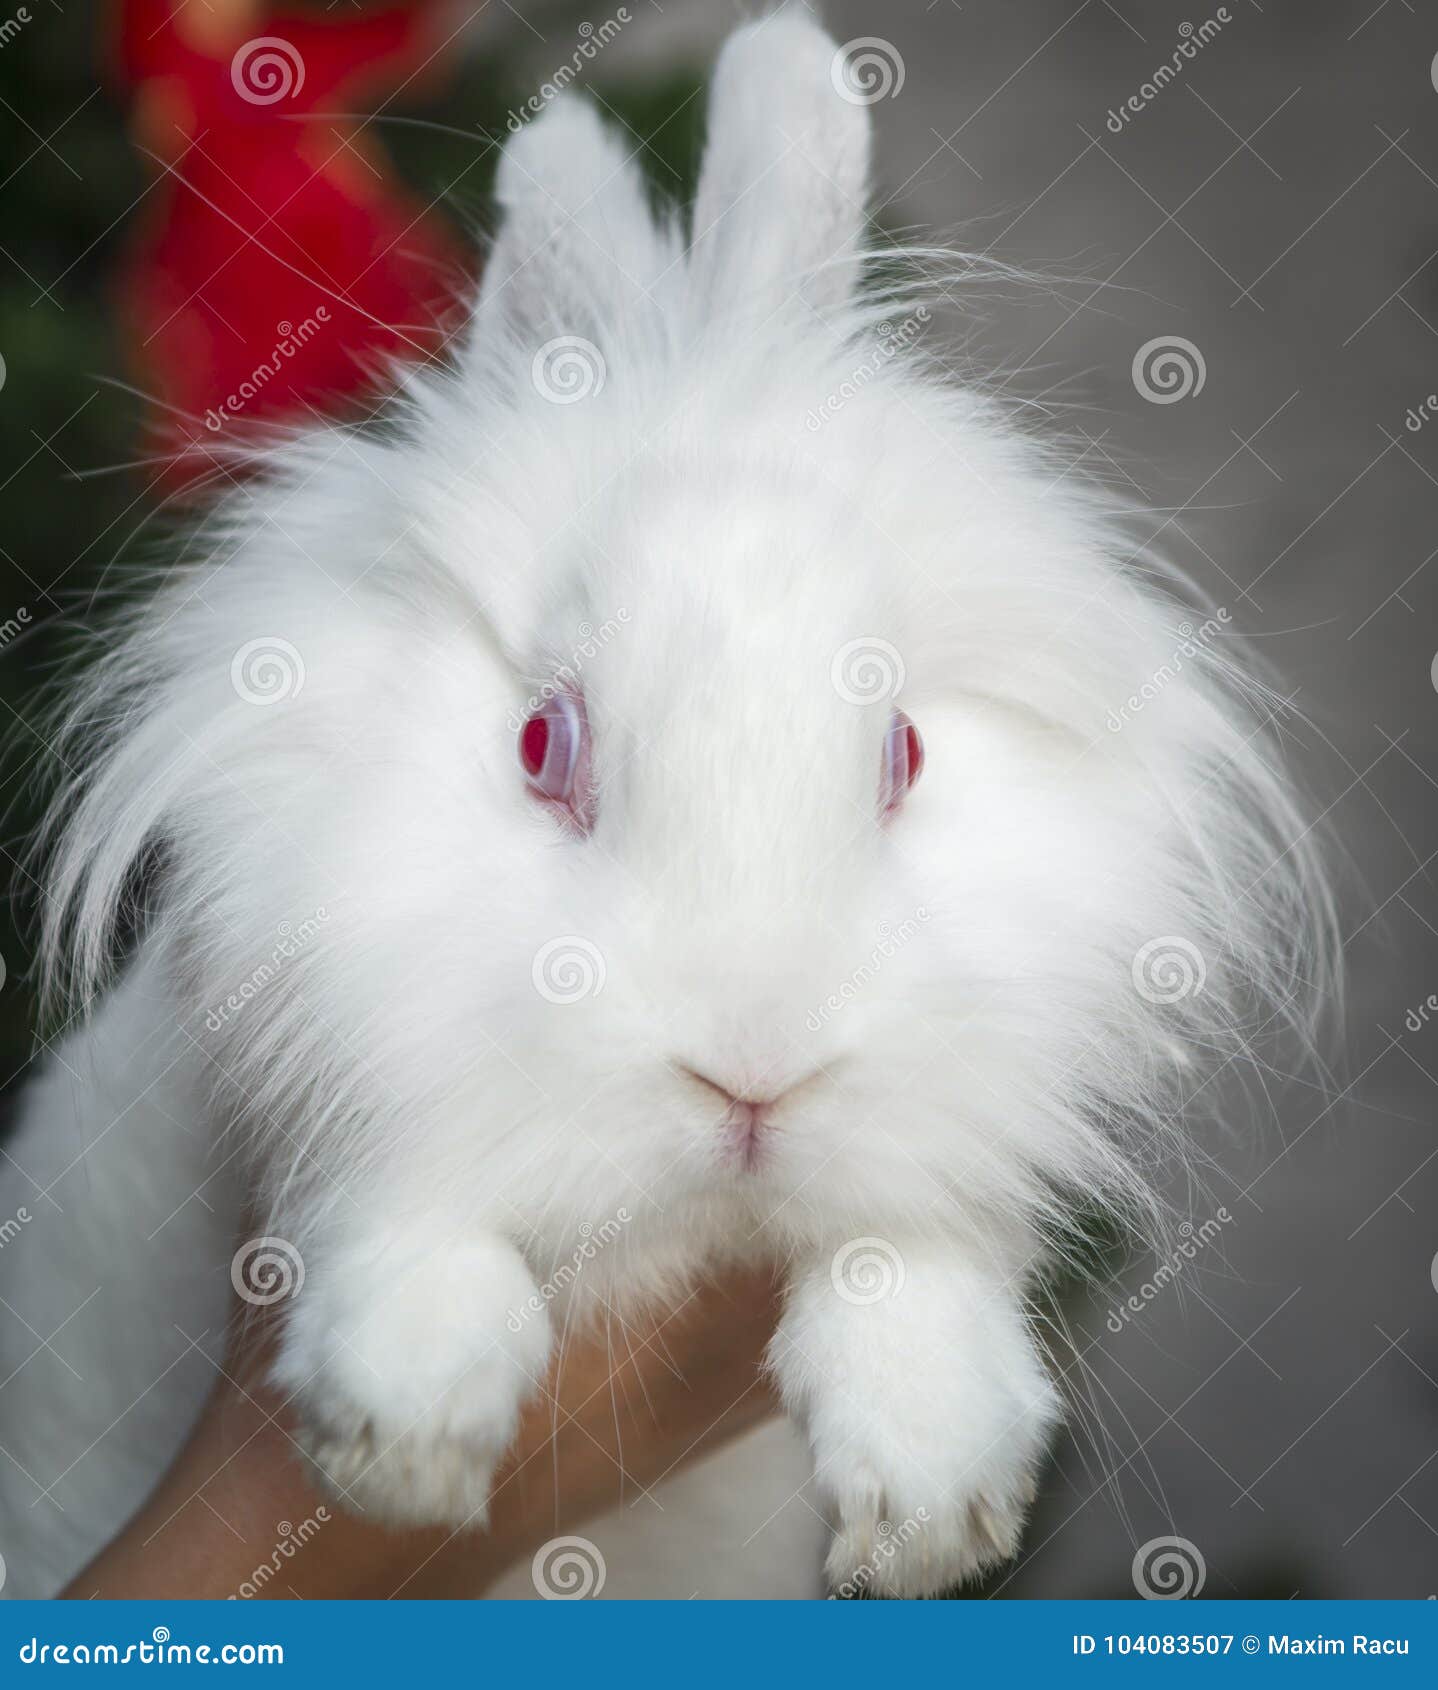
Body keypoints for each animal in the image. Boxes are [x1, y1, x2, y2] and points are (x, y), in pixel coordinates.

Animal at [0, 9, 1332, 1600]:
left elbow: (915, 1251)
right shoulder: (318, 1011)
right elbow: (388, 1189)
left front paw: (932, 1499)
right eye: (537, 742)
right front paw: (399, 1431)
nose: (752, 1075)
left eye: (903, 753)